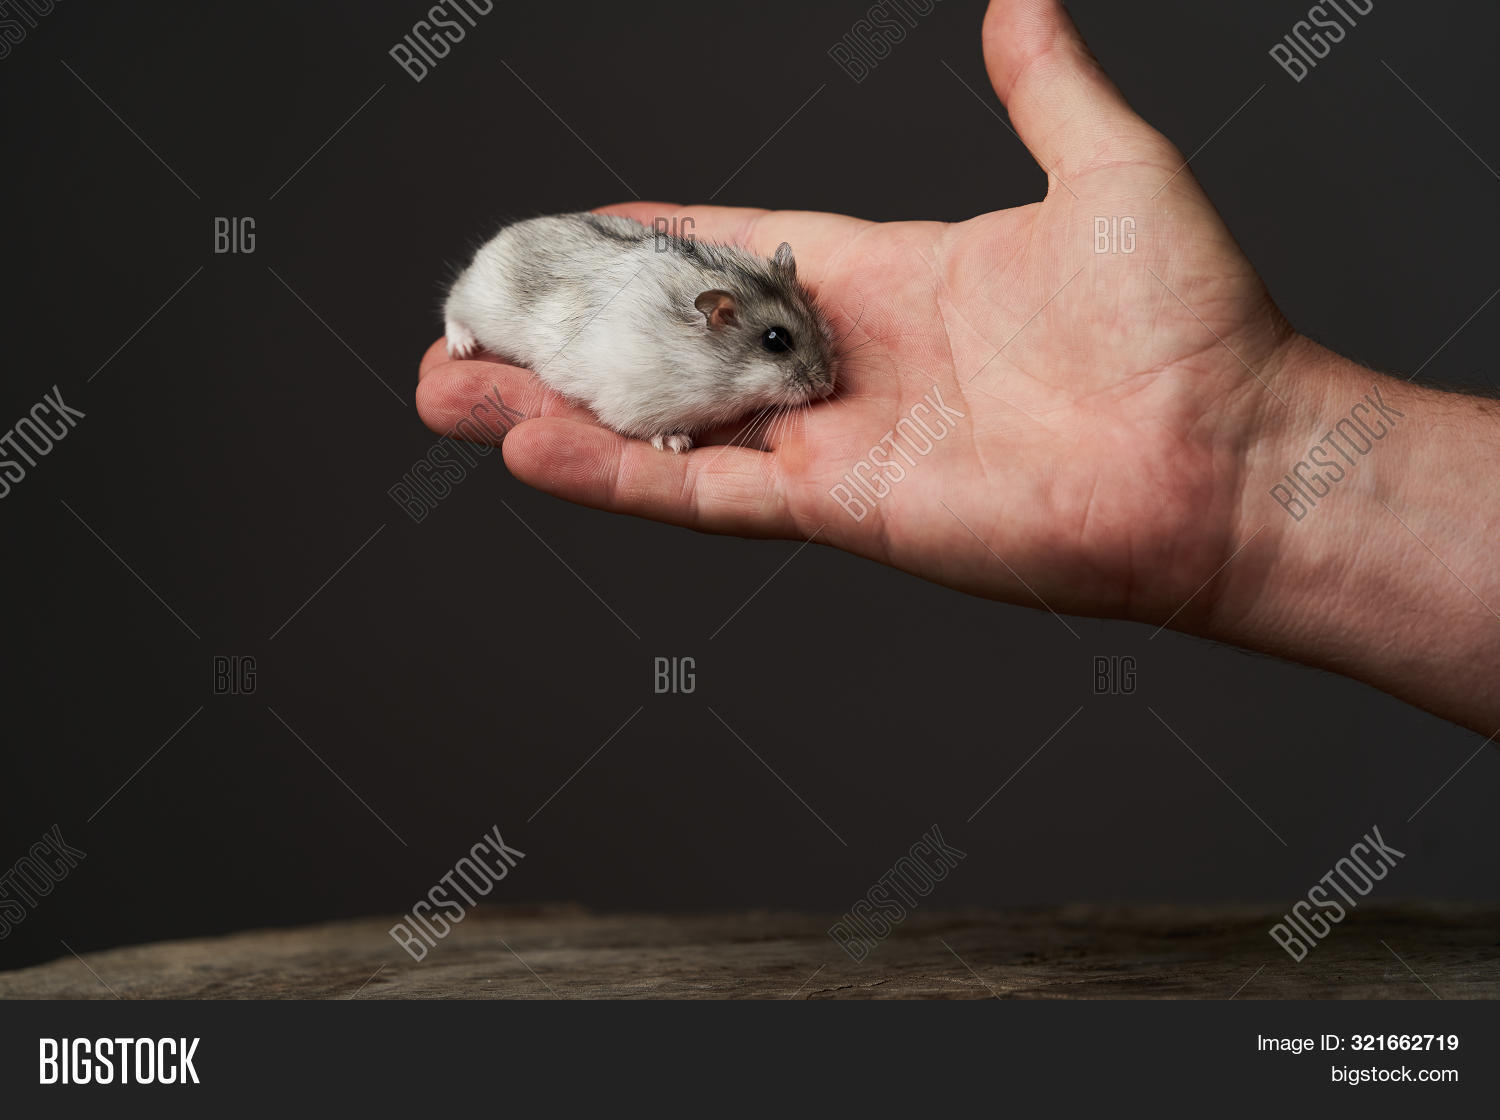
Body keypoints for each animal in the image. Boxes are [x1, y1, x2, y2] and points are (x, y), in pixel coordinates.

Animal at [443, 213, 838, 452]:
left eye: (816, 317)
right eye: (776, 340)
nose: (829, 385)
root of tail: (504, 234)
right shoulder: (631, 399)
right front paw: (677, 443)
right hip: (478, 301)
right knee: (452, 304)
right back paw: (461, 348)